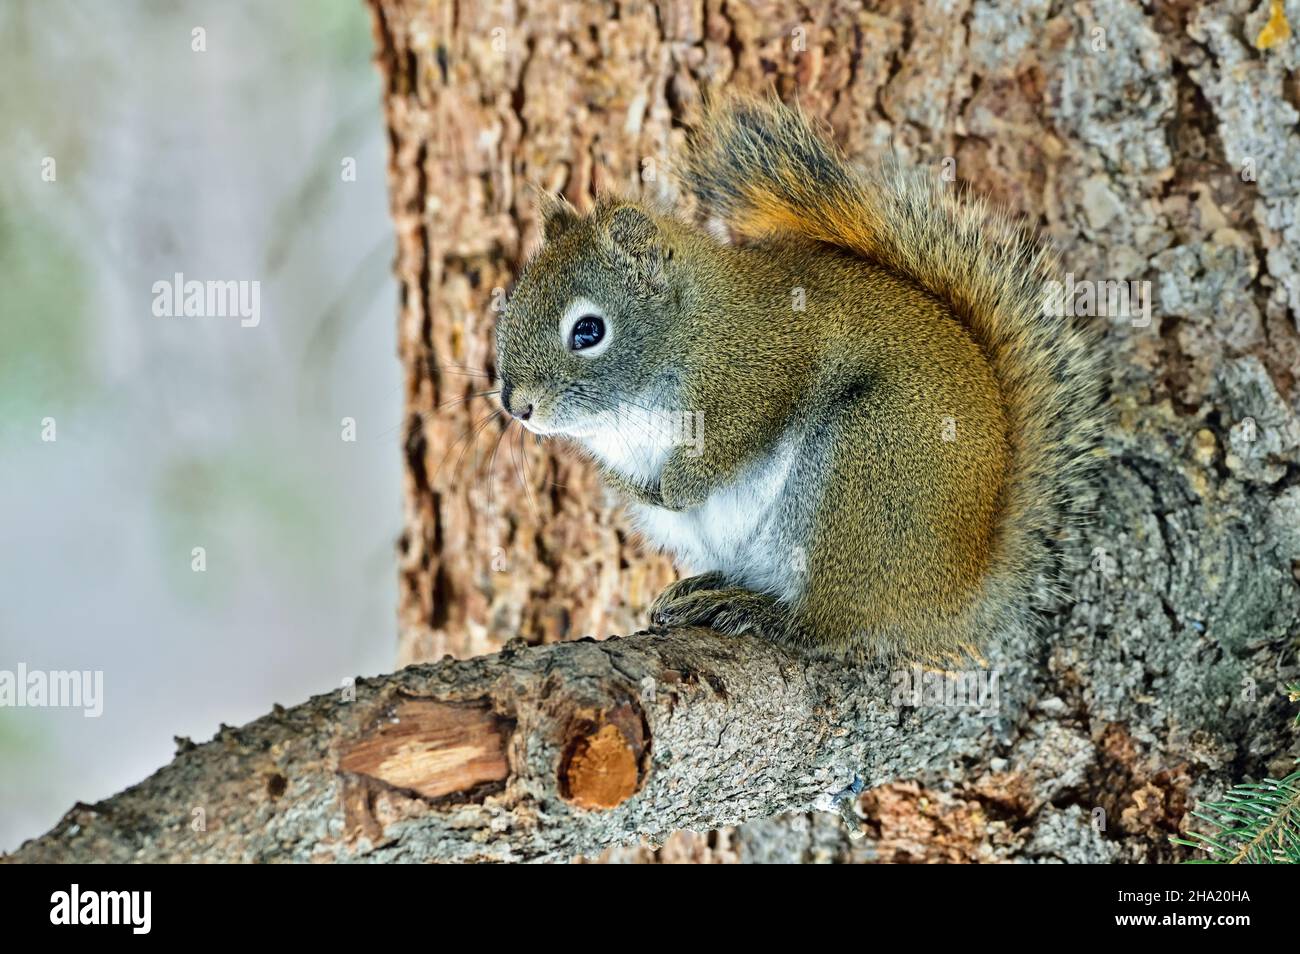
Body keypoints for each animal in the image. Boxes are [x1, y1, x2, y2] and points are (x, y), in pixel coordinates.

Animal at [493, 93, 1105, 661]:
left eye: (588, 331)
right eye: (512, 304)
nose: (517, 408)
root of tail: (954, 592)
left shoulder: (773, 364)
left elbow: (740, 433)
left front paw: (682, 484)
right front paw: (649, 490)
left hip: (866, 467)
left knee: (830, 623)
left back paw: (761, 612)